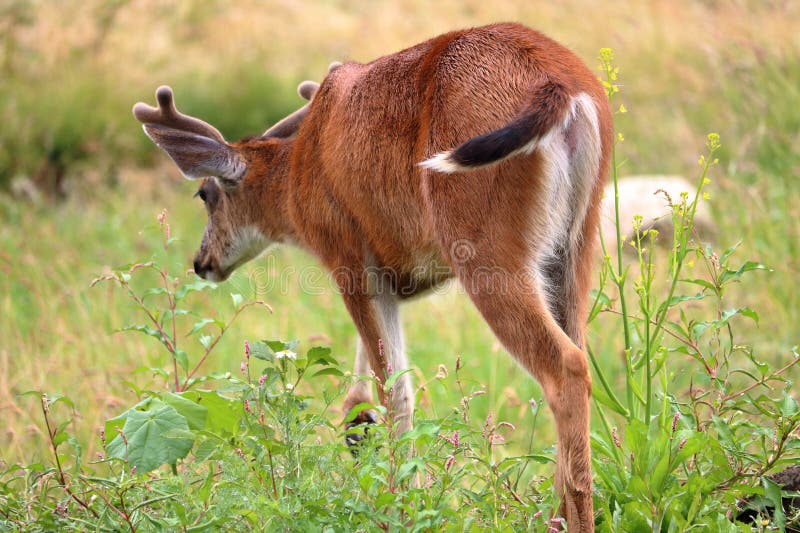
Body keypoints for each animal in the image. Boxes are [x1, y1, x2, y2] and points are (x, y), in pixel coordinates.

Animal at [133, 22, 612, 531]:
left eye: (205, 195)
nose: (201, 262)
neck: (298, 176)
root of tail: (560, 86)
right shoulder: (396, 278)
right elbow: (363, 394)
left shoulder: (348, 254)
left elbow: (393, 392)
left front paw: (402, 507)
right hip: (575, 242)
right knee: (580, 350)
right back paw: (561, 509)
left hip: (485, 242)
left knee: (565, 366)